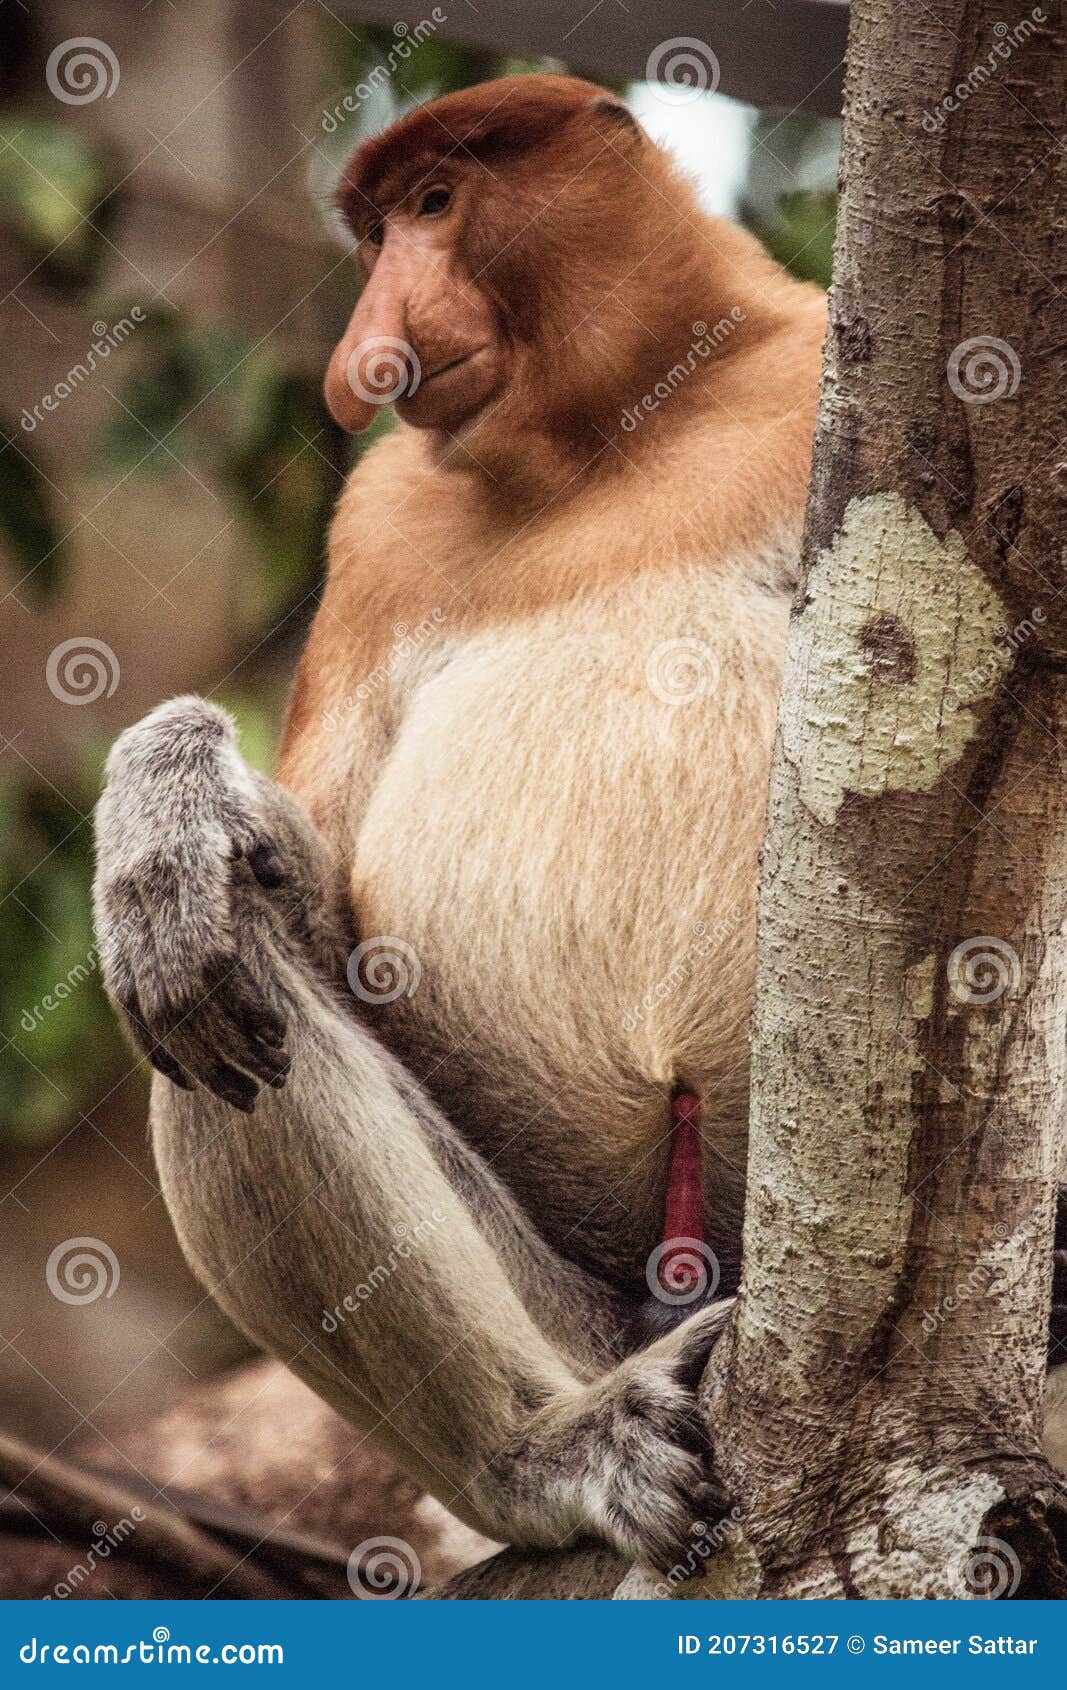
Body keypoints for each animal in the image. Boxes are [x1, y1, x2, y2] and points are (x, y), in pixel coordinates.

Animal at [90, 74, 1067, 1572]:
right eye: (376, 228)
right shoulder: (377, 518)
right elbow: (318, 892)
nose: (363, 354)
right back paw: (553, 1458)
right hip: (587, 1323)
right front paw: (170, 811)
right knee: (221, 1008)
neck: (619, 430)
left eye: (436, 202)